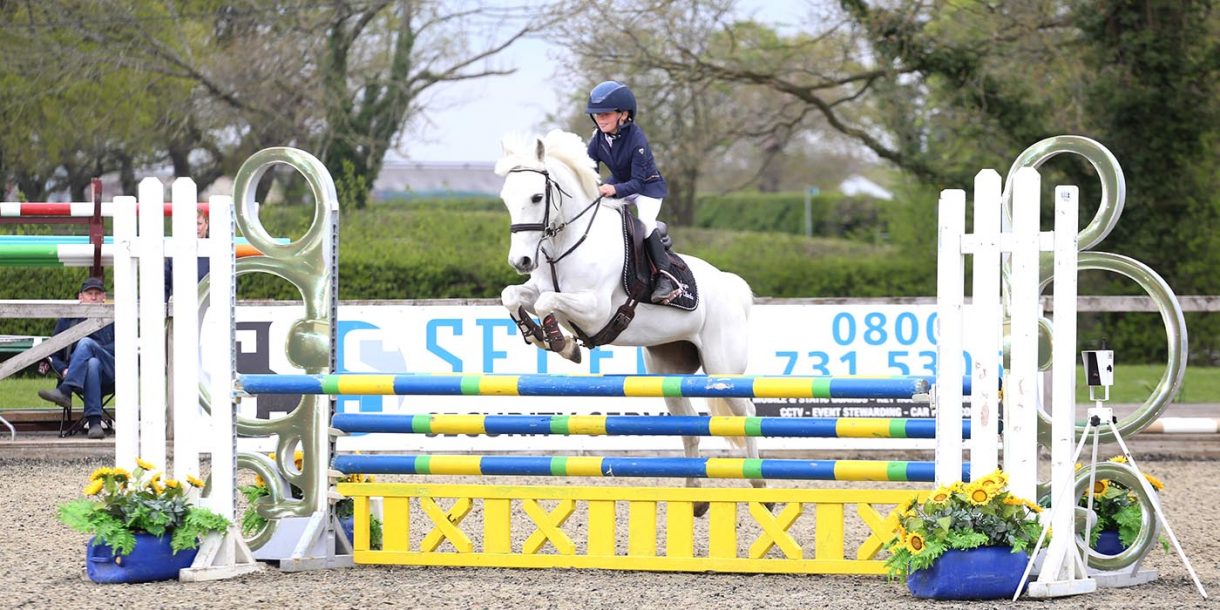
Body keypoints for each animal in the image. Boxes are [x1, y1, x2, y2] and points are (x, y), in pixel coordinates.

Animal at [495, 130, 763, 511]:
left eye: (536, 196)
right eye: (506, 198)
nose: (521, 261)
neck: (568, 243)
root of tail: (733, 287)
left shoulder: (595, 311)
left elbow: (548, 303)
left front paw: (562, 343)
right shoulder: (542, 290)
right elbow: (513, 295)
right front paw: (536, 334)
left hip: (723, 370)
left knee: (747, 415)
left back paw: (761, 488)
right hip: (669, 372)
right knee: (689, 425)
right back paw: (696, 497)